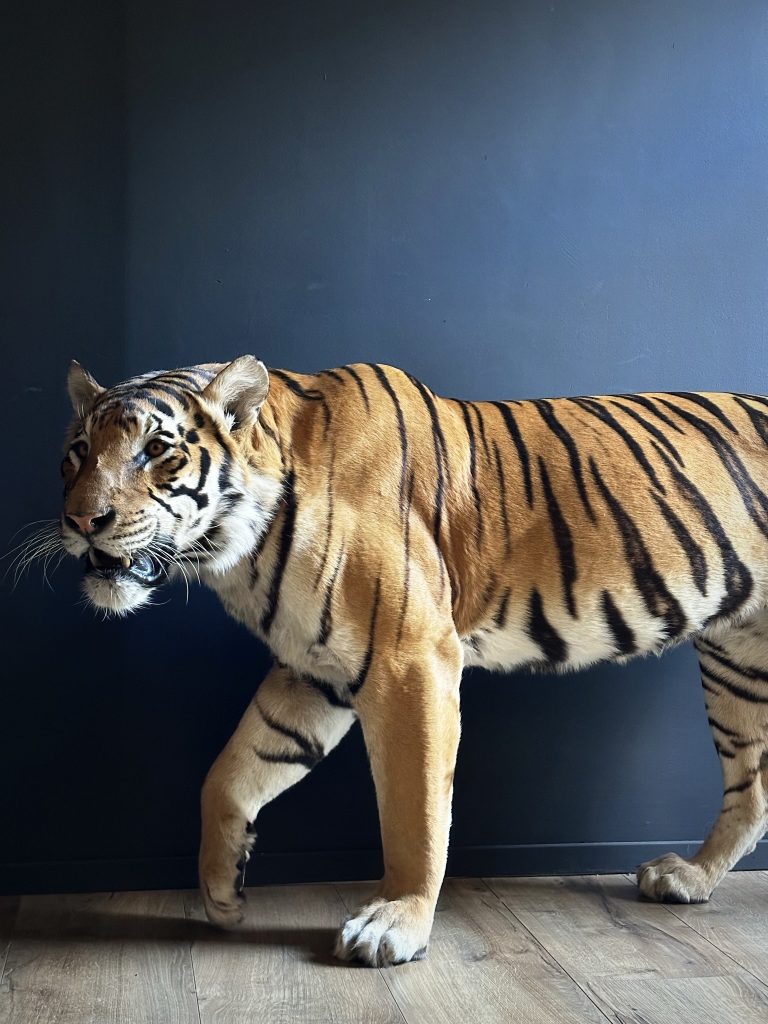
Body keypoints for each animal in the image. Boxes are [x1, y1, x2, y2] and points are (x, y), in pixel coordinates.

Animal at [57, 355, 768, 967]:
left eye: (157, 451)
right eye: (79, 451)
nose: (82, 521)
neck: (239, 556)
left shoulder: (411, 659)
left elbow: (415, 809)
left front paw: (396, 922)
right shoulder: (313, 670)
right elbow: (229, 775)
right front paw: (223, 895)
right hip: (736, 665)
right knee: (752, 791)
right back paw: (689, 879)